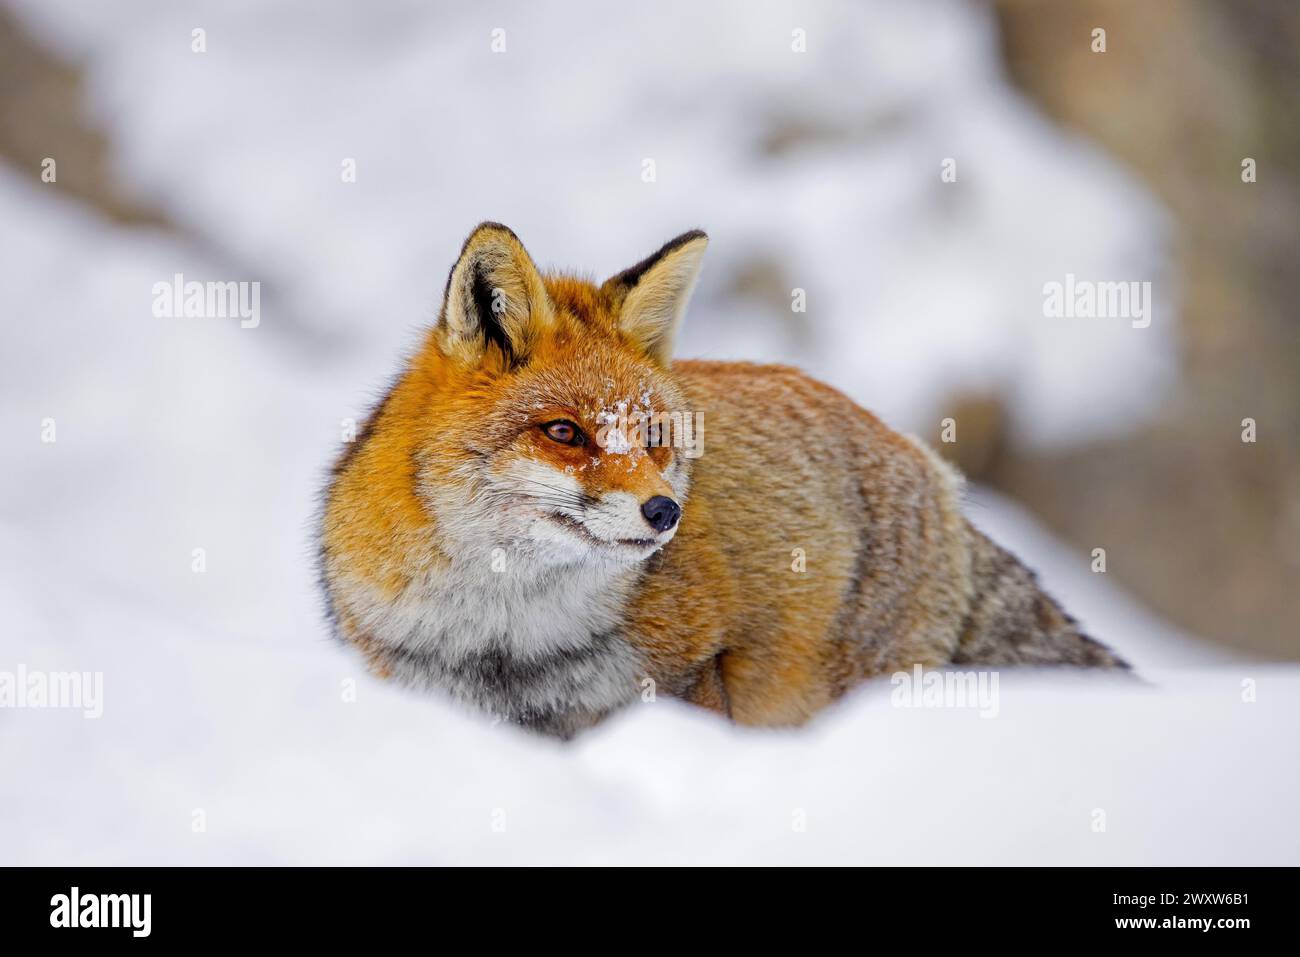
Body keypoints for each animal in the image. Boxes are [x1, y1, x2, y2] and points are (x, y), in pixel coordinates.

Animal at [318, 223, 1127, 737]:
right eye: (565, 433)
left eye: (654, 438)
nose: (664, 511)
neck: (508, 638)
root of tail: (935, 473)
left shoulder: (687, 680)